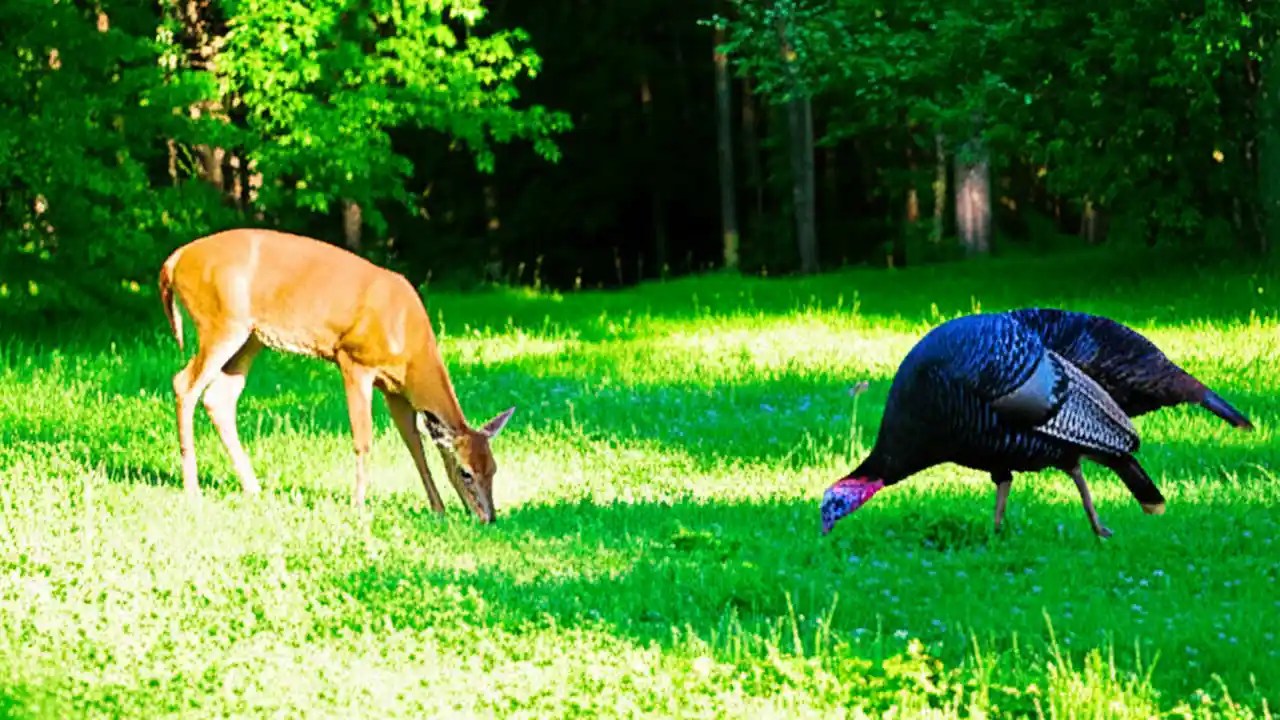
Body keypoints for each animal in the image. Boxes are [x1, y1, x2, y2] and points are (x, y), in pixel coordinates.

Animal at [156, 228, 515, 522]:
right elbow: (363, 438)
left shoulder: (395, 389)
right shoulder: (353, 360)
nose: (488, 517)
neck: (409, 346)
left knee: (219, 398)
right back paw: (193, 490)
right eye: (466, 472)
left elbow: (414, 444)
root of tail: (174, 260)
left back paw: (253, 488)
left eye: (494, 468)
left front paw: (438, 510)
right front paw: (360, 506)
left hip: (251, 337)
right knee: (183, 384)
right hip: (219, 321)